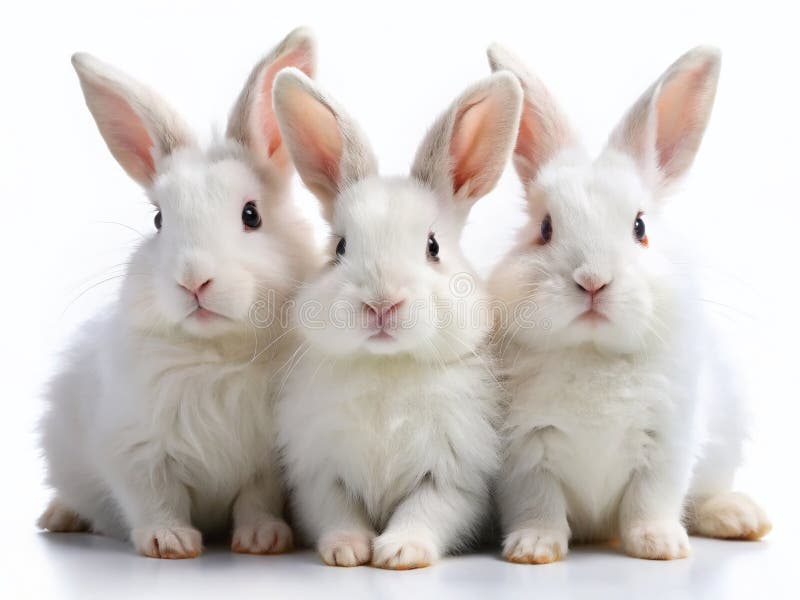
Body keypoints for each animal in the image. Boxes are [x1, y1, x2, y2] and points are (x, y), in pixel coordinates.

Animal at [37, 28, 321, 558]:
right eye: (158, 219)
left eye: (251, 215)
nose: (194, 280)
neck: (215, 356)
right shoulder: (135, 451)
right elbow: (154, 498)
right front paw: (169, 542)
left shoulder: (265, 464)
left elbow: (256, 500)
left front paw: (263, 540)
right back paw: (57, 517)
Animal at [271, 67, 523, 569]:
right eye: (339, 247)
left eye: (433, 247)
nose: (381, 304)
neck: (386, 365)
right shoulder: (319, 473)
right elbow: (336, 511)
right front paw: (347, 551)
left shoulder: (453, 476)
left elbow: (426, 510)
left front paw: (400, 553)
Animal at [487, 44, 771, 563]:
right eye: (545, 229)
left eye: (640, 227)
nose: (592, 281)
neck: (594, 354)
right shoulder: (524, 452)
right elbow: (539, 503)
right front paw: (533, 549)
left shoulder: (667, 442)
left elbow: (652, 498)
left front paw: (659, 545)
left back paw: (739, 516)